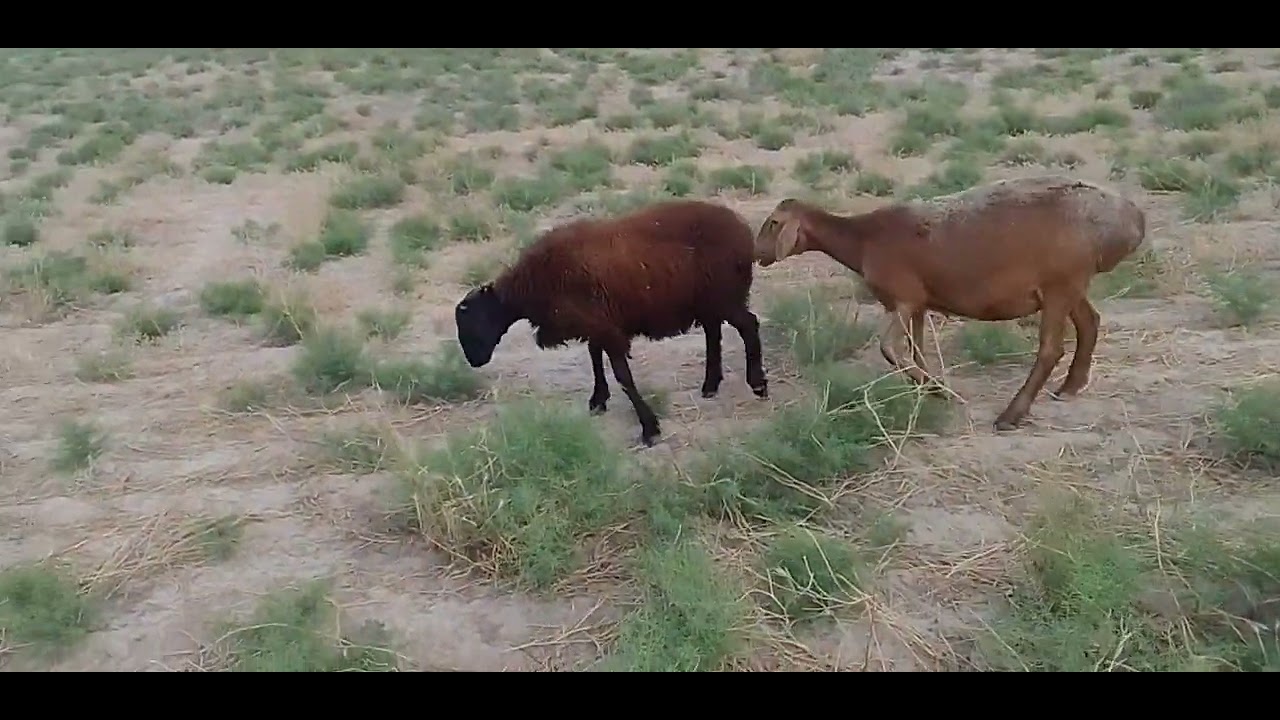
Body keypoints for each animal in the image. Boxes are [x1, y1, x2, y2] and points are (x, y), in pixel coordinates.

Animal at [454, 198, 769, 447]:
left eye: (472, 322)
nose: (474, 361)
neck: (535, 282)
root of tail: (743, 231)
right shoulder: (596, 325)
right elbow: (595, 359)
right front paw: (598, 400)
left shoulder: (606, 329)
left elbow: (623, 377)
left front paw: (649, 428)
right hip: (708, 302)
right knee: (713, 332)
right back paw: (710, 385)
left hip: (725, 297)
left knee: (748, 326)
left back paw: (758, 385)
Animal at [753, 174, 1147, 432]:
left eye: (773, 223)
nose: (757, 254)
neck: (862, 240)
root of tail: (1130, 219)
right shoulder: (918, 304)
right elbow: (916, 350)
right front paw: (927, 389)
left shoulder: (903, 299)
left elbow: (889, 348)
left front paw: (941, 392)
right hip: (1070, 285)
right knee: (1090, 323)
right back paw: (1069, 387)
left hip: (1060, 286)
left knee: (1051, 348)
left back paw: (1011, 415)